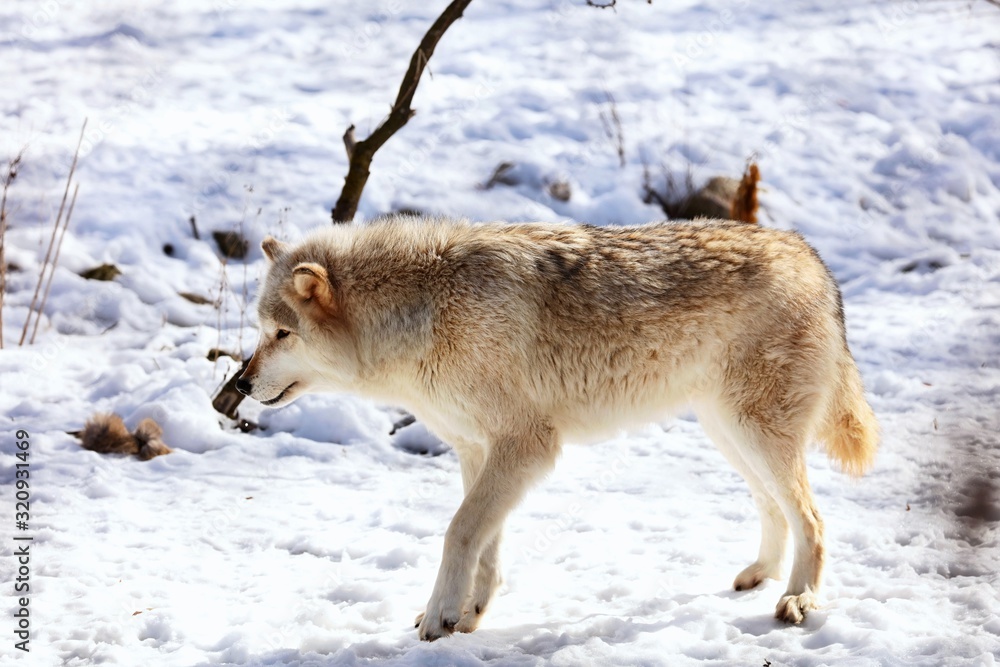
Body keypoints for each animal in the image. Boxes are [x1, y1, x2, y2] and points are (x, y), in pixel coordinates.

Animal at [237, 216, 878, 641]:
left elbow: (458, 532)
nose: (239, 386)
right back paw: (758, 577)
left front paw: (440, 617)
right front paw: (467, 614)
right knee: (775, 509)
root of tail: (812, 258)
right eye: (262, 331)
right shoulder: (478, 451)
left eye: (282, 334)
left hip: (754, 434)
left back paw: (797, 600)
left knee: (813, 519)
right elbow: (485, 545)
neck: (422, 312)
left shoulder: (526, 446)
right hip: (730, 434)